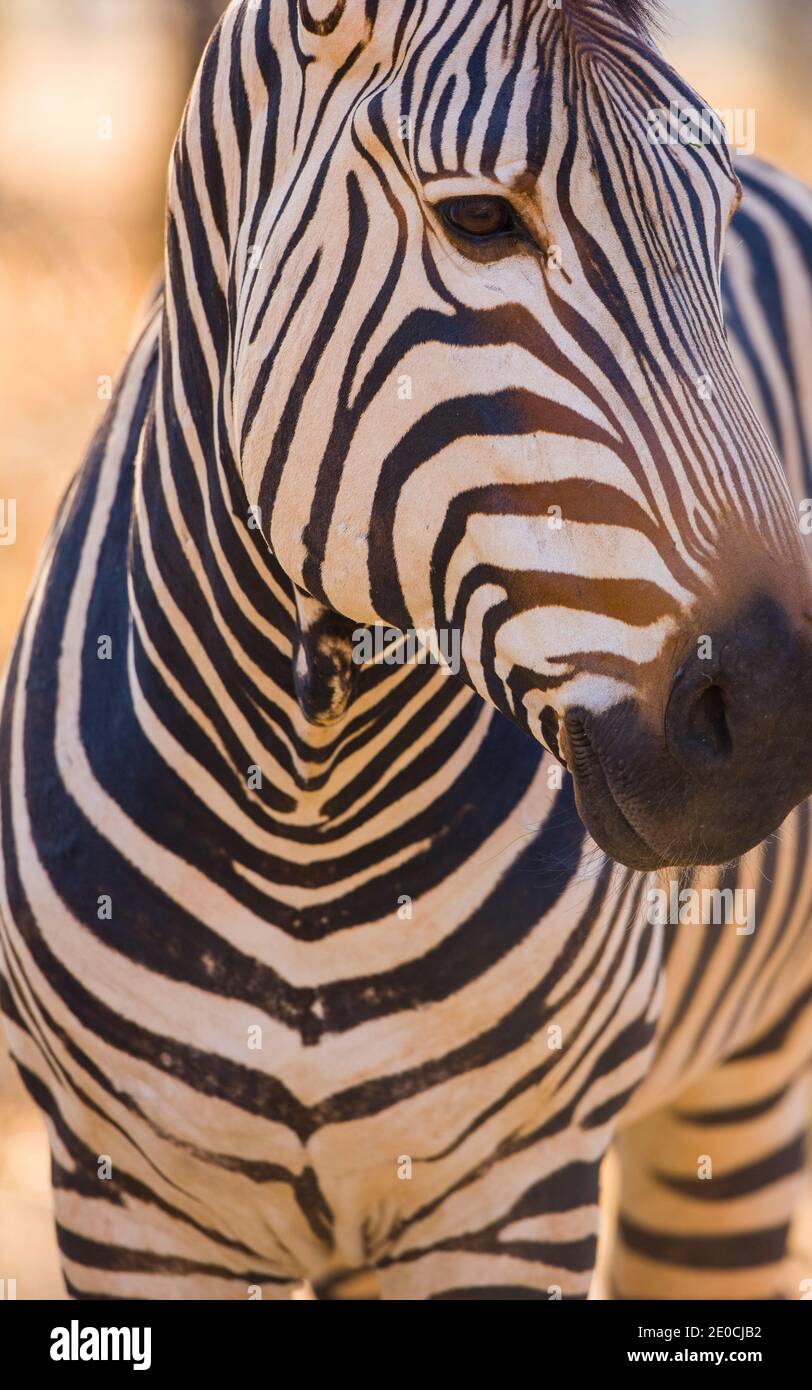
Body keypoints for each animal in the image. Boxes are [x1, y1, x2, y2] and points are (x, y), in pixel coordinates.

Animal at [2, 0, 812, 1301]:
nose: (780, 716)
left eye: (713, 213)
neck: (307, 815)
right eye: (479, 220)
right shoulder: (127, 1197)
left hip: (741, 1084)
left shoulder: (513, 1194)